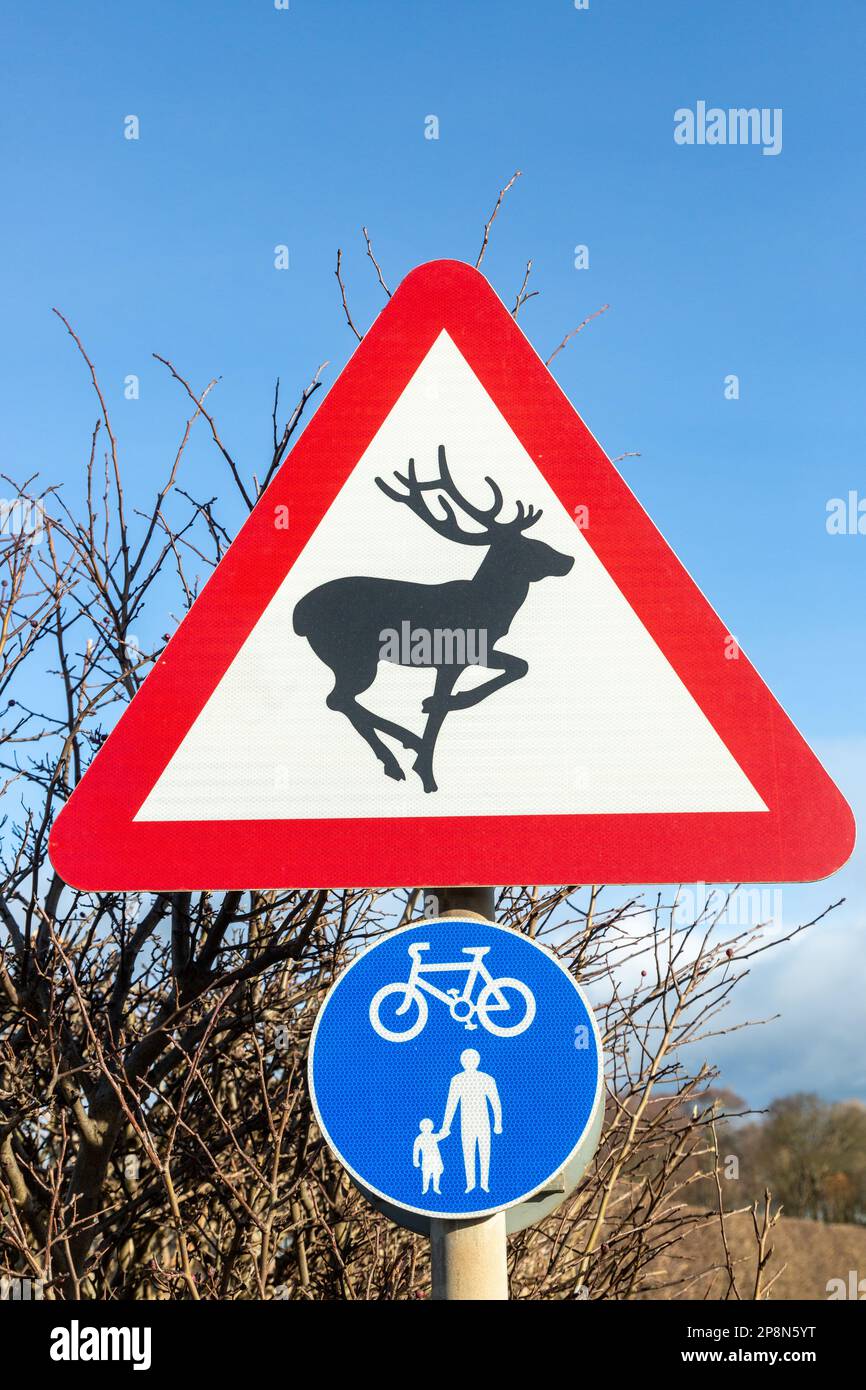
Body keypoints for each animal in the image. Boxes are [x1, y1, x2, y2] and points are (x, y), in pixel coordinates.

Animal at [293, 445, 574, 793]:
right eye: (529, 545)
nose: (568, 559)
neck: (489, 605)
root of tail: (299, 616)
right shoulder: (451, 656)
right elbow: (441, 708)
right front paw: (426, 772)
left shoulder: (477, 651)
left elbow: (519, 666)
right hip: (352, 655)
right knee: (338, 698)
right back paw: (405, 744)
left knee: (340, 700)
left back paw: (396, 757)